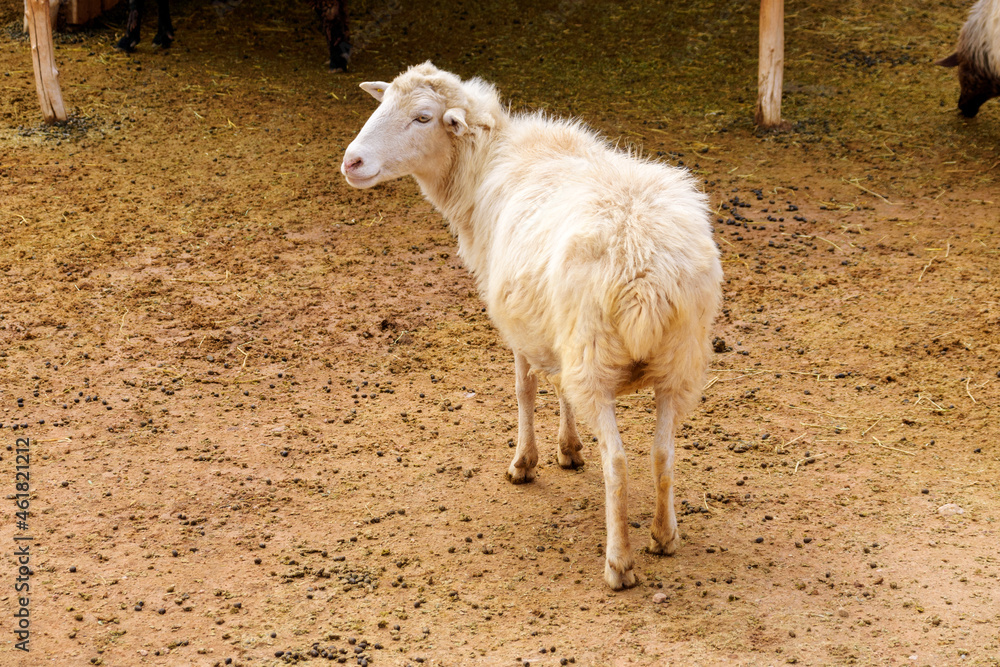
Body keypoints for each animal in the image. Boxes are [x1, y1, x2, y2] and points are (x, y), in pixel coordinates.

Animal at [341, 63, 723, 590]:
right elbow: (558, 386)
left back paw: (618, 563)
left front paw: (525, 462)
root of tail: (645, 272)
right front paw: (569, 449)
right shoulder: (550, 324)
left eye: (422, 117)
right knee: (662, 454)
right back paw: (664, 537)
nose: (352, 162)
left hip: (596, 358)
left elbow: (525, 388)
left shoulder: (517, 320)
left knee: (618, 463)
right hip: (676, 363)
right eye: (383, 104)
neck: (485, 161)